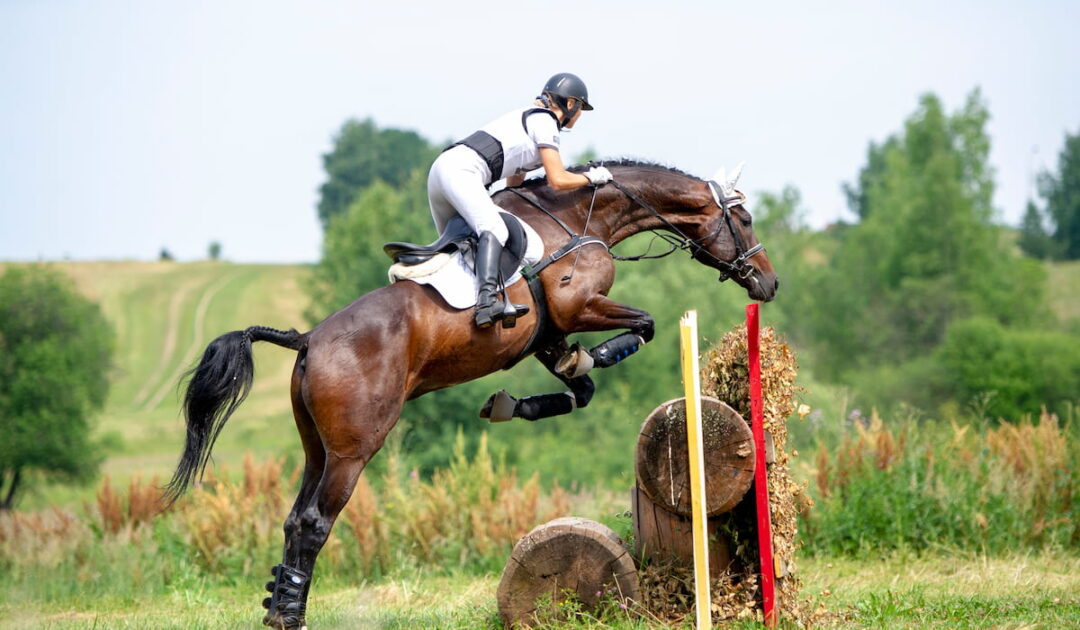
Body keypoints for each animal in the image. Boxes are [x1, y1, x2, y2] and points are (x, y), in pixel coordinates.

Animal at [164, 159, 778, 629]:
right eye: (745, 219)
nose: (769, 283)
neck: (574, 220)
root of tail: (308, 338)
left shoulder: (547, 335)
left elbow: (578, 386)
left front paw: (514, 404)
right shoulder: (577, 308)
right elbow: (643, 326)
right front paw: (595, 355)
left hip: (317, 446)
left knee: (296, 519)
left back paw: (279, 607)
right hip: (353, 449)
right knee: (315, 521)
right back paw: (291, 615)